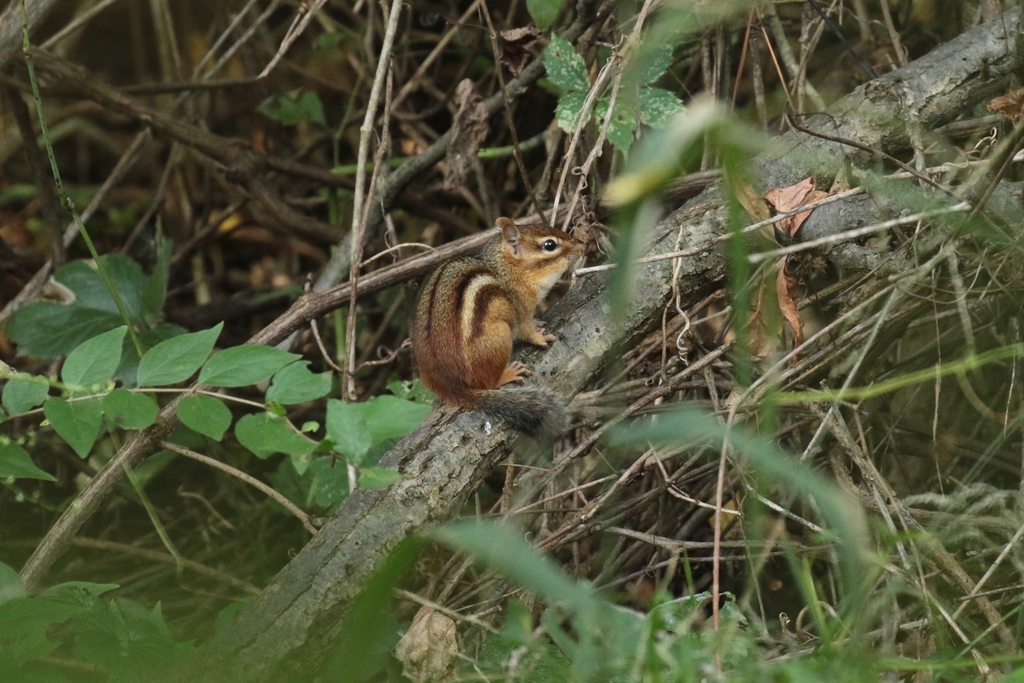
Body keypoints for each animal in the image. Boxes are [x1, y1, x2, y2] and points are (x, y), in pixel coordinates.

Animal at [413, 217, 584, 436]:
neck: (507, 270)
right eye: (549, 245)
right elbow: (526, 331)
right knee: (489, 382)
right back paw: (508, 374)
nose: (582, 245)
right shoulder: (520, 309)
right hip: (500, 335)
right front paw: (540, 337)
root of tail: (452, 387)